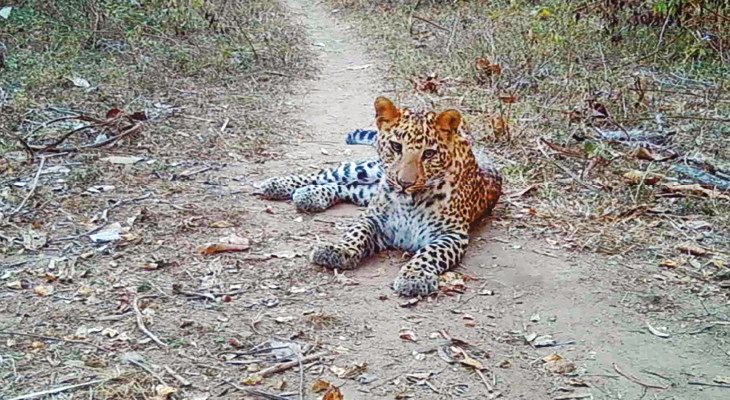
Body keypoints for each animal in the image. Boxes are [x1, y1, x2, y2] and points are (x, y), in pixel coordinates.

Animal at [257, 97, 502, 296]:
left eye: (429, 154)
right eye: (396, 146)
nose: (405, 183)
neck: (409, 203)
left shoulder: (452, 234)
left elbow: (430, 252)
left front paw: (414, 277)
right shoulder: (373, 219)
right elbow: (356, 233)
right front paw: (339, 250)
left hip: (366, 190)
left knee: (347, 188)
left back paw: (310, 196)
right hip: (365, 169)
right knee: (327, 174)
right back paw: (276, 185)